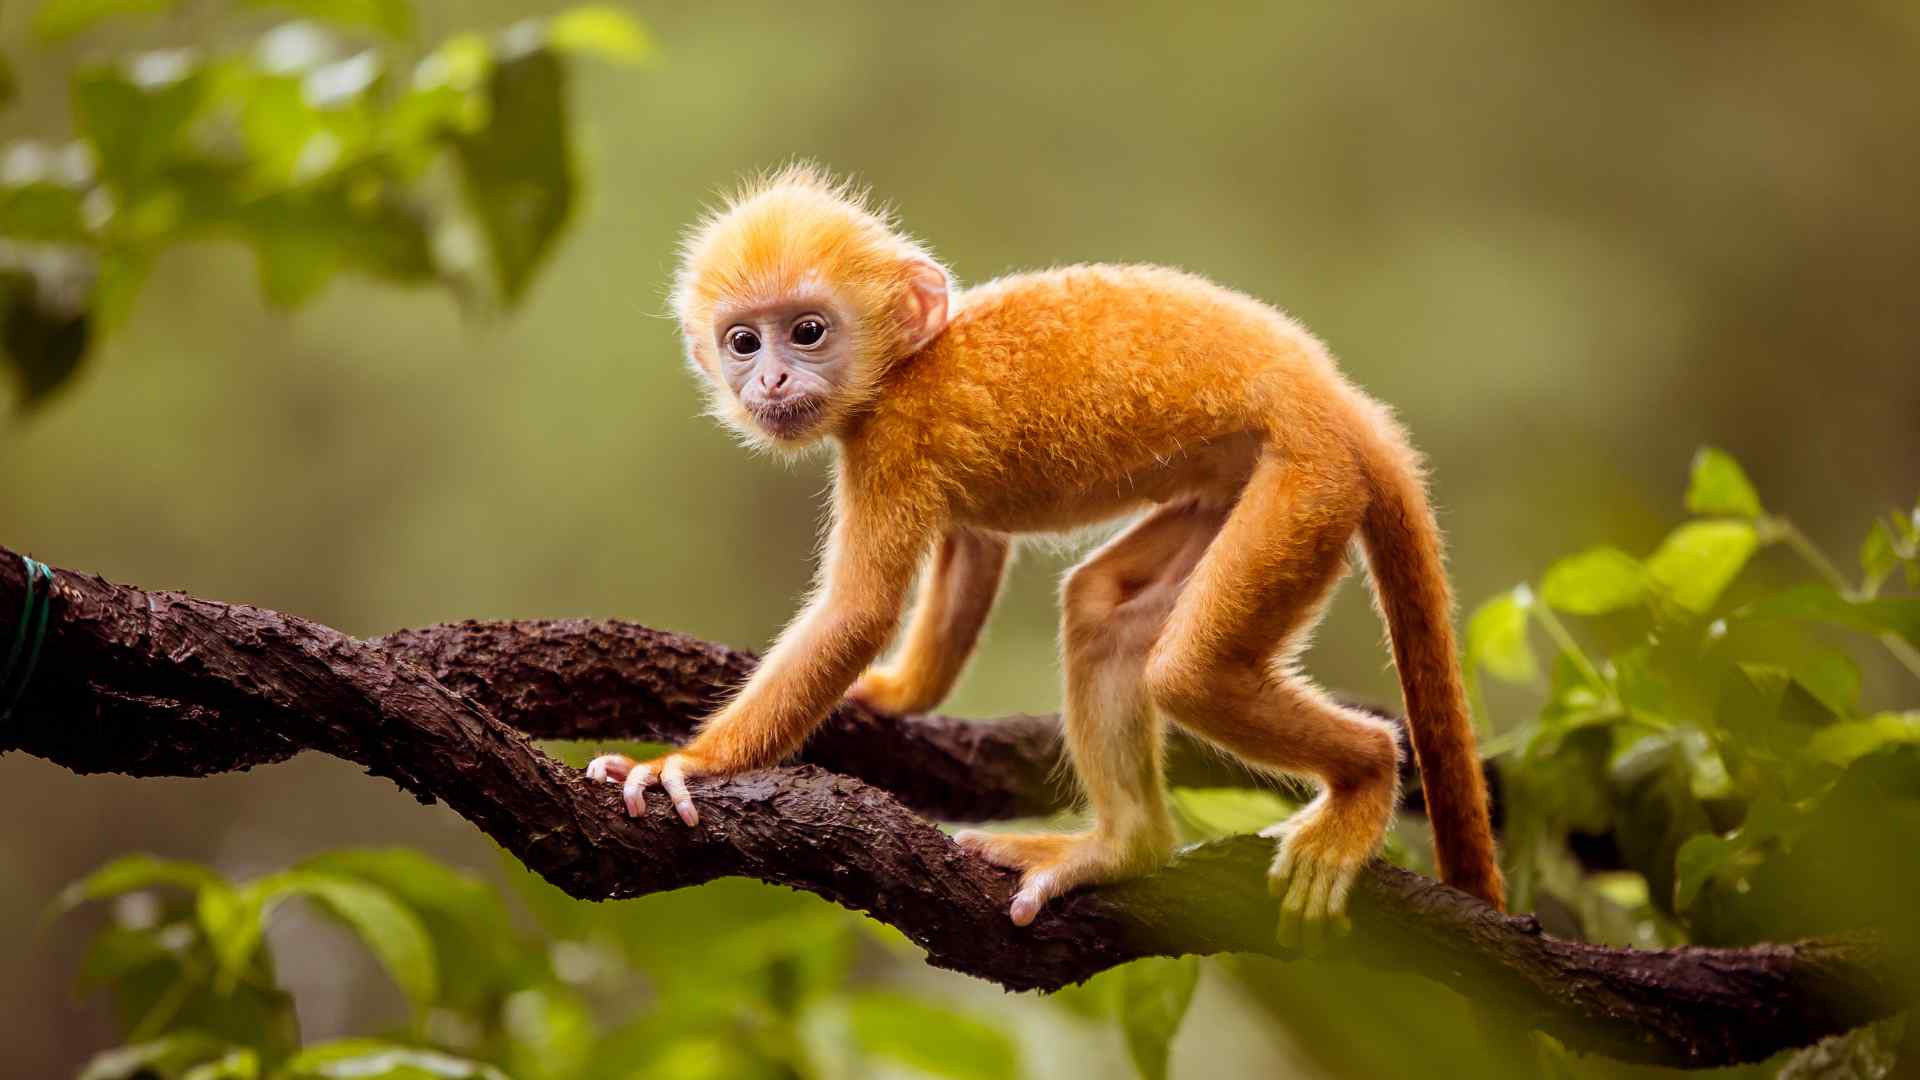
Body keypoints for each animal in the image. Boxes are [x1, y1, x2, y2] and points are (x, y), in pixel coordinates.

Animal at [586, 165, 1504, 939]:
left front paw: (688, 765)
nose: (768, 380)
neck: (906, 364)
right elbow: (973, 546)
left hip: (1307, 485)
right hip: (1246, 488)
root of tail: (1338, 401)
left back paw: (1366, 777)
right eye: (744, 342)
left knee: (1190, 673)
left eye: (807, 331)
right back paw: (1125, 847)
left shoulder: (896, 438)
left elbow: (857, 613)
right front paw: (892, 694)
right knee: (1104, 611)